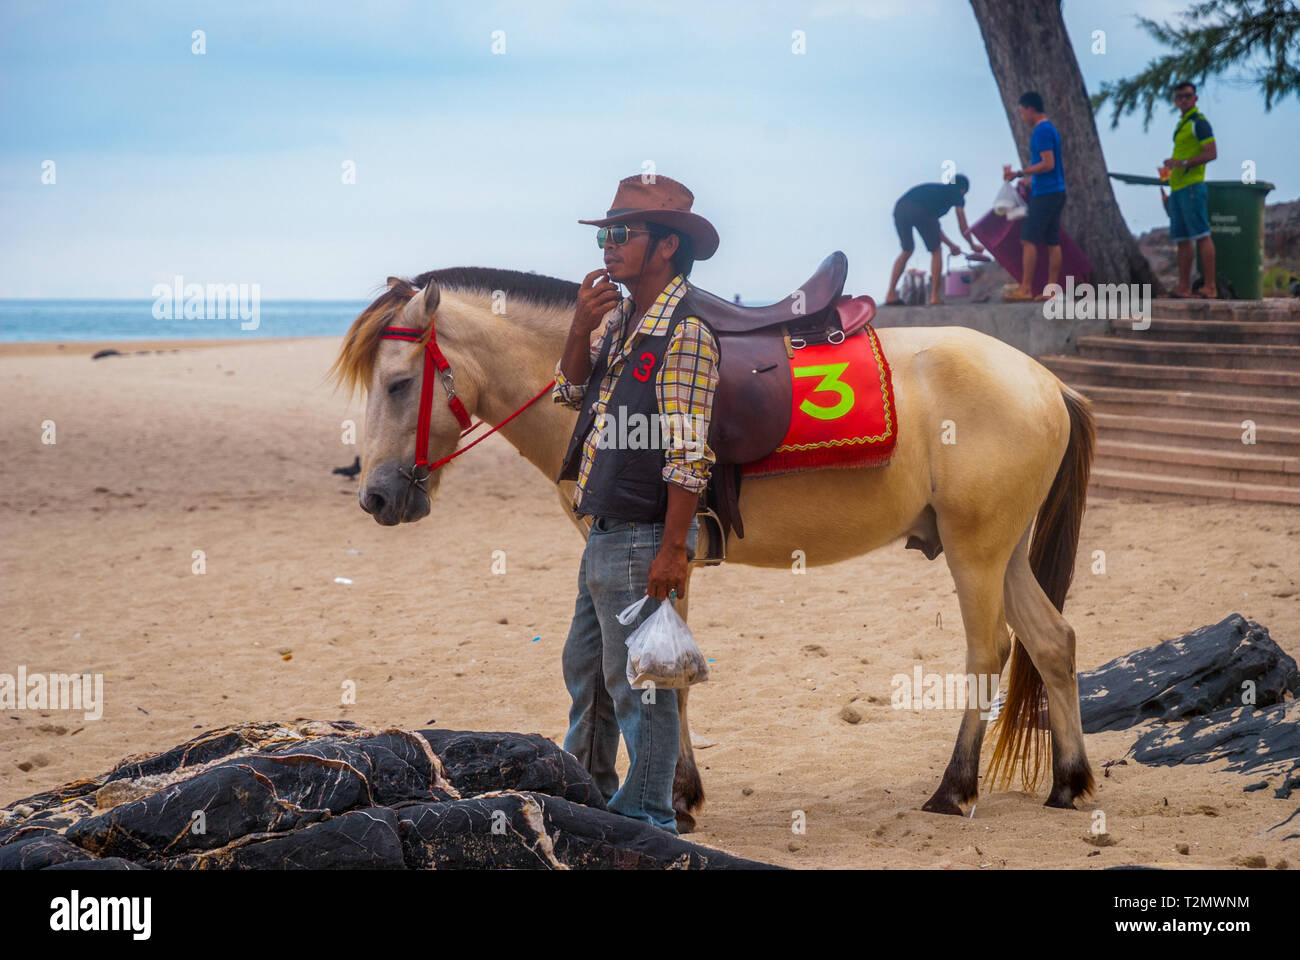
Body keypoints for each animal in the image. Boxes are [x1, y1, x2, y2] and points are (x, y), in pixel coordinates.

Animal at [330, 266, 1096, 831]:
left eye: (399, 384)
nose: (374, 497)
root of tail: (1046, 379)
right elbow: (593, 668)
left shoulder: (659, 560)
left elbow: (658, 682)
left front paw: (675, 797)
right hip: (1005, 550)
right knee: (1052, 641)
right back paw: (1070, 780)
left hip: (977, 550)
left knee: (988, 653)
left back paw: (956, 787)